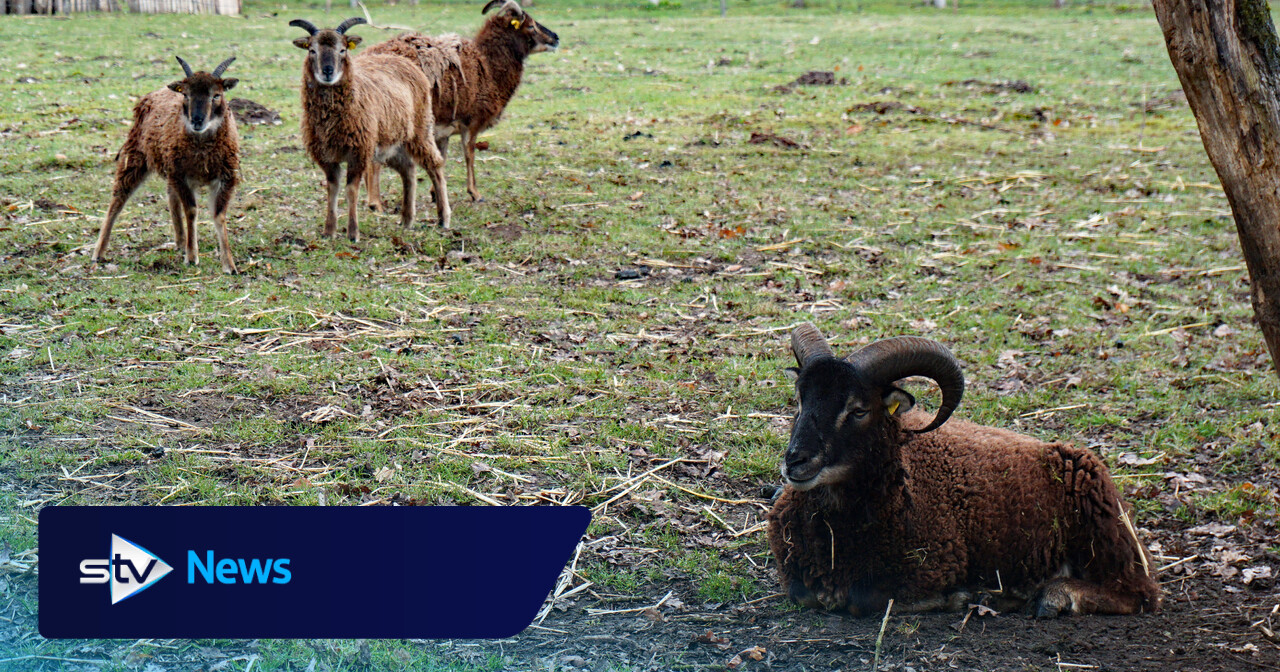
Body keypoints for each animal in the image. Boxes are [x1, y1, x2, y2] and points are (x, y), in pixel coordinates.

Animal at [92, 56, 241, 274]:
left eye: (217, 95)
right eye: (186, 95)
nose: (197, 120)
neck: (203, 150)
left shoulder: (225, 177)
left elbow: (219, 215)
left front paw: (229, 265)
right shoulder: (182, 175)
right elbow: (192, 211)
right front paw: (192, 257)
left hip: (169, 166)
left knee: (171, 197)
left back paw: (180, 242)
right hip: (136, 156)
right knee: (118, 199)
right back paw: (98, 253)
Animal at [291, 16, 450, 241]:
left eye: (342, 50)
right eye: (312, 50)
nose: (328, 71)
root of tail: (404, 61)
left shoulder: (359, 151)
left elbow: (351, 190)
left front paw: (353, 233)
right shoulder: (326, 156)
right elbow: (332, 189)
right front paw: (329, 231)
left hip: (421, 130)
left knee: (435, 165)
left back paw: (443, 219)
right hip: (391, 142)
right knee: (408, 170)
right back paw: (407, 220)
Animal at [361, 0, 560, 206]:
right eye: (531, 26)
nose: (556, 38)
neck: (488, 66)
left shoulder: (443, 130)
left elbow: (442, 157)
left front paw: (435, 193)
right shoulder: (472, 122)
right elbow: (469, 153)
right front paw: (475, 193)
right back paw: (374, 202)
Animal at [766, 323, 1161, 618]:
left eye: (859, 410)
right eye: (800, 399)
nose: (796, 461)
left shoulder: (935, 566)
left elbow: (867, 600)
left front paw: (957, 597)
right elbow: (805, 594)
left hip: (1105, 534)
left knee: (1137, 593)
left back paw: (1053, 596)